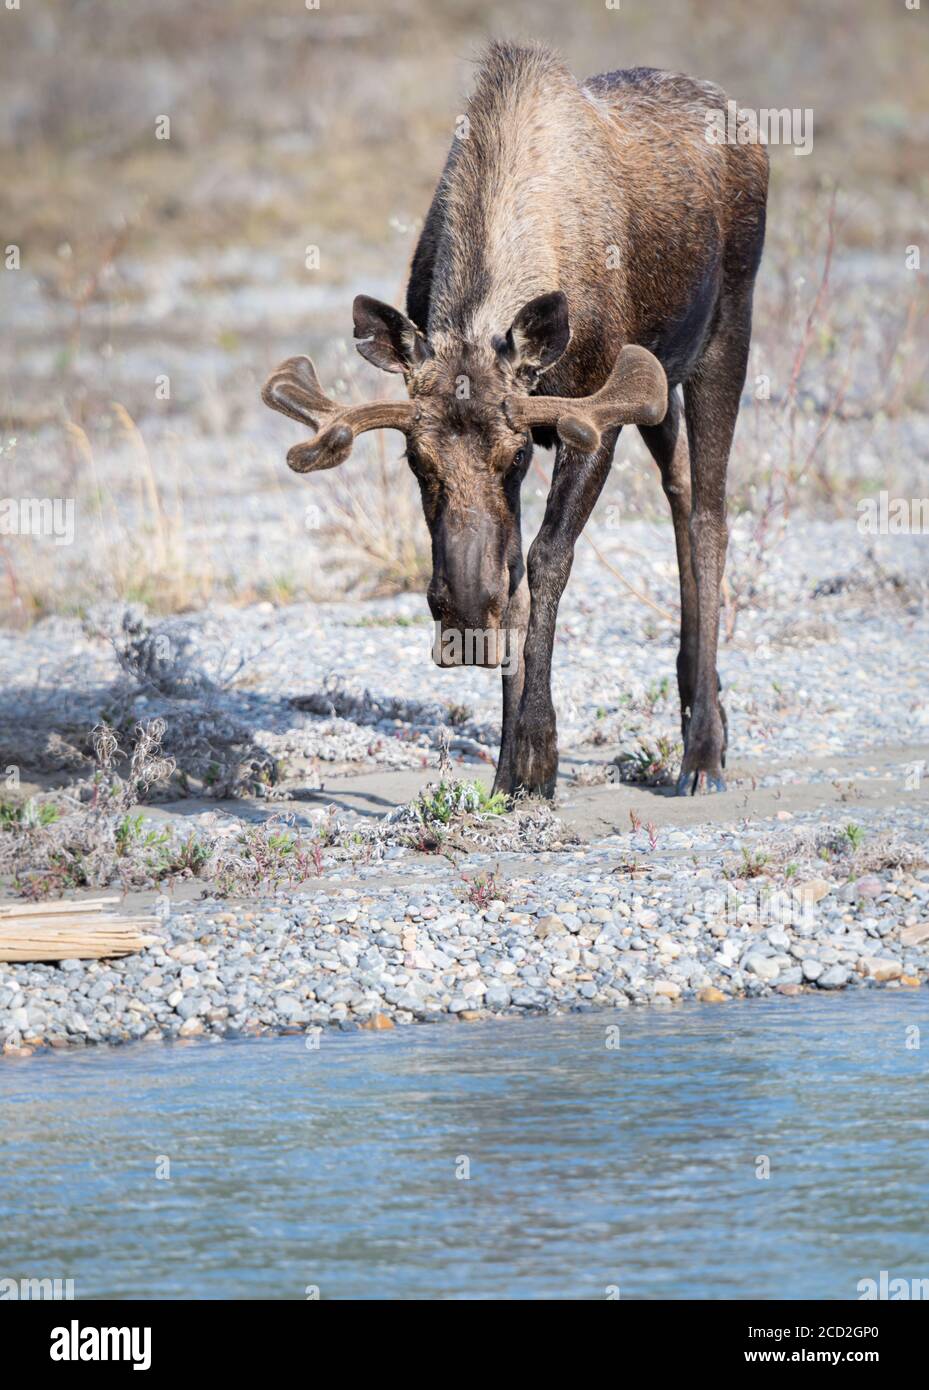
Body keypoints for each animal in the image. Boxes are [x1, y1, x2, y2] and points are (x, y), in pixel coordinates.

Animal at [262, 41, 768, 800]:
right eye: (417, 462)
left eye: (515, 455)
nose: (466, 612)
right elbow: (515, 577)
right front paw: (509, 766)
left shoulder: (592, 416)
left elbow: (544, 561)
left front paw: (537, 752)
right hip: (664, 380)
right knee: (680, 490)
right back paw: (704, 712)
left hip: (725, 332)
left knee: (710, 512)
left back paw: (702, 751)